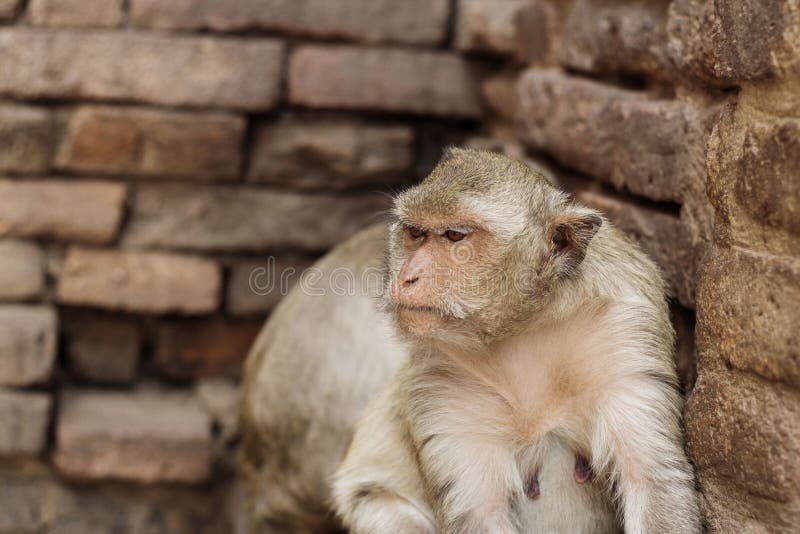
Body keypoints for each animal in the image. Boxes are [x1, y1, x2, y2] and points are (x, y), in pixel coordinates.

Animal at [332, 148, 700, 533]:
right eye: (415, 233)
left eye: (454, 236)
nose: (407, 277)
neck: (520, 328)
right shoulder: (437, 379)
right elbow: (479, 513)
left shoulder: (627, 330)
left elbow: (651, 479)